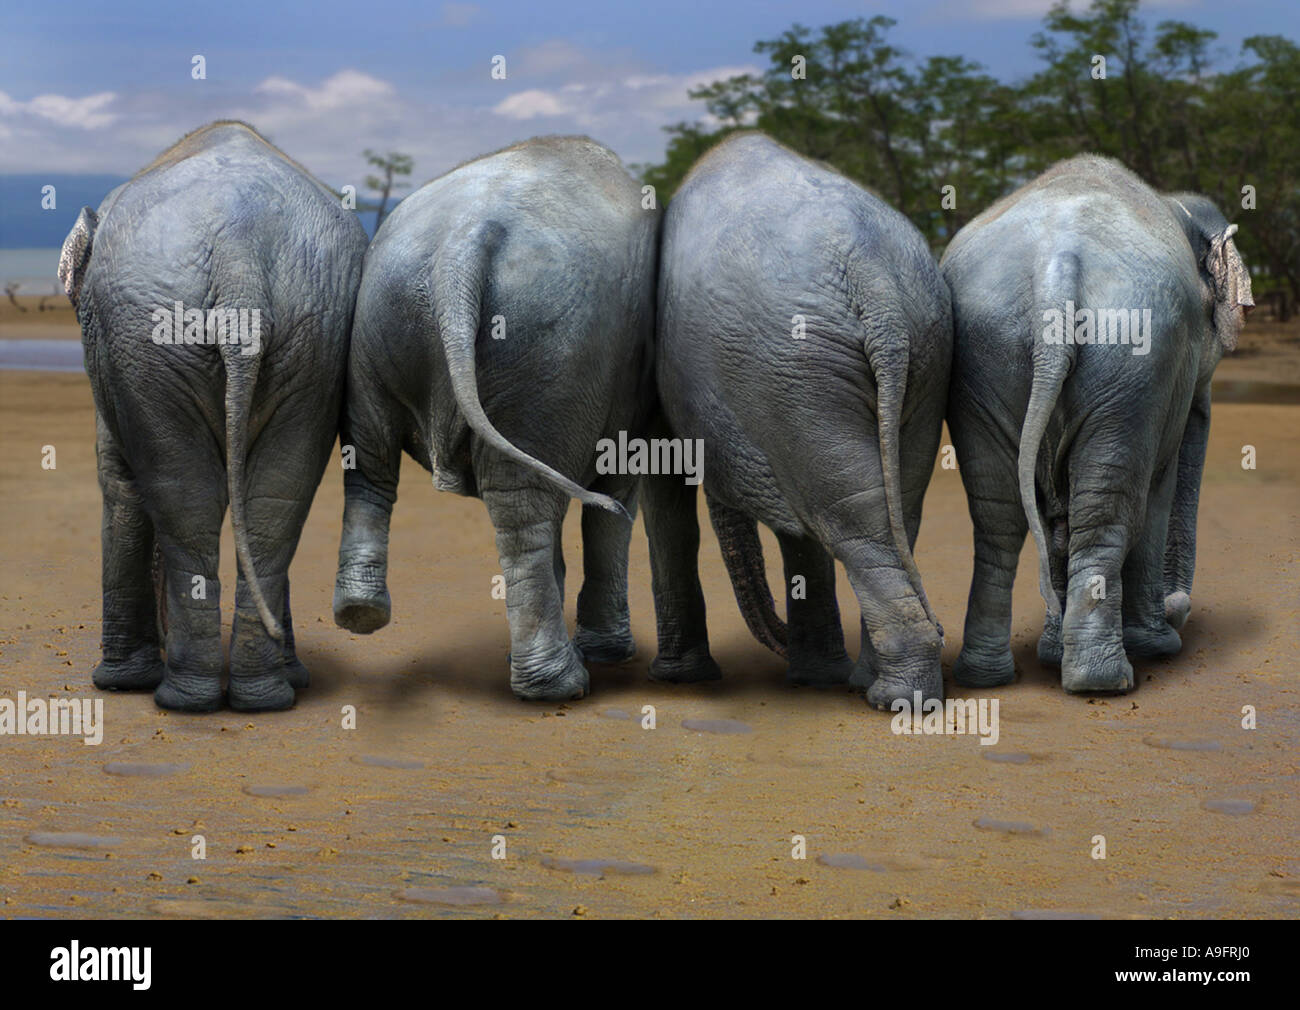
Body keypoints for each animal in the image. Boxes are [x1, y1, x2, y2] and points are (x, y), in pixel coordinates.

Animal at [59, 120, 367, 712]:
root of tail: (239, 252)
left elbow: (118, 484)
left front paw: (118, 683)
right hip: (314, 335)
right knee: (273, 501)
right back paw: (265, 696)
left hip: (152, 336)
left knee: (184, 496)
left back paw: (179, 698)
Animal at [331, 135, 657, 702]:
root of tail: (463, 242)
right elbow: (615, 494)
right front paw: (608, 656)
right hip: (551, 347)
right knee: (526, 502)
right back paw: (561, 686)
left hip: (377, 324)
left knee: (371, 463)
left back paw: (360, 612)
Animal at [643, 132, 951, 710]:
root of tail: (873, 281)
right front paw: (816, 679)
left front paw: (675, 680)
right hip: (916, 353)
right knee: (888, 506)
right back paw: (872, 683)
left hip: (800, 361)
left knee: (850, 518)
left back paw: (895, 698)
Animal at [941, 155, 1252, 694]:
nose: (1180, 610)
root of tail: (1055, 265)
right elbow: (1159, 485)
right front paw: (1159, 647)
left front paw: (1052, 651)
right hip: (1131, 355)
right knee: (1110, 508)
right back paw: (1105, 680)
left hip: (989, 351)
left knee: (999, 514)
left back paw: (988, 677)